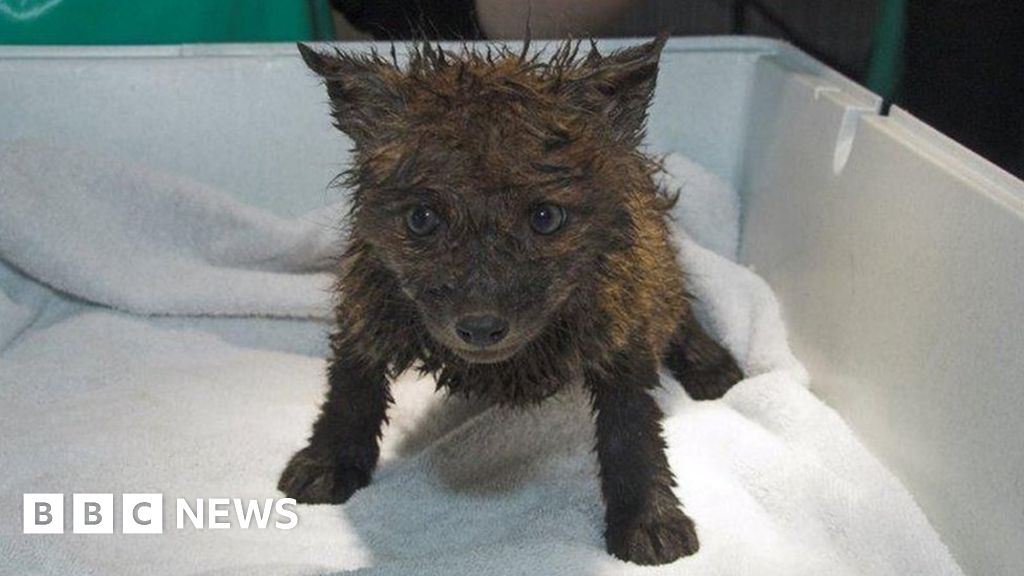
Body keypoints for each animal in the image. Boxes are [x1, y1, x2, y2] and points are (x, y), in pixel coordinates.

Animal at [280, 35, 742, 565]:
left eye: (545, 217)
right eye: (422, 218)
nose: (481, 327)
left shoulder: (620, 310)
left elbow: (632, 425)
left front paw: (648, 518)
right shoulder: (371, 293)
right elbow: (352, 381)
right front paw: (328, 460)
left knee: (676, 301)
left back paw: (710, 363)